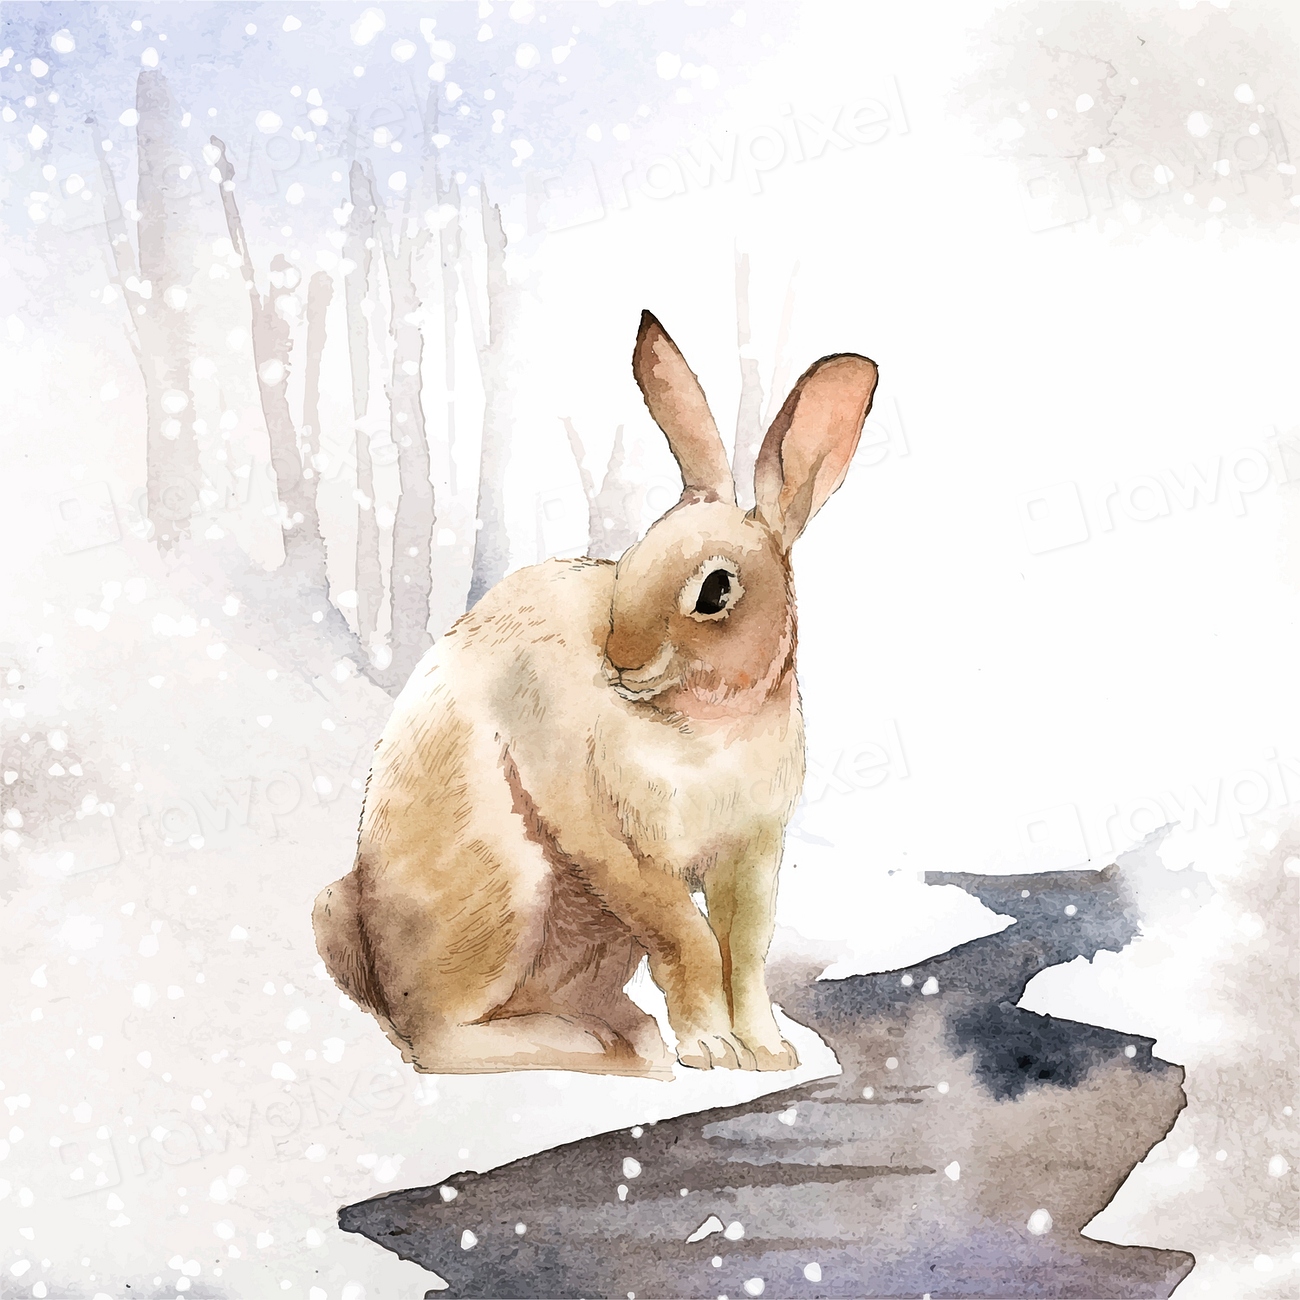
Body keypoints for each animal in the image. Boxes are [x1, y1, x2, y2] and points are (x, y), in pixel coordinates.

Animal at [314, 311, 878, 1077]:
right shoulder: (618, 843)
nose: (619, 660)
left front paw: (768, 1052)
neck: (711, 723)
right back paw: (601, 1049)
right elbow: (690, 944)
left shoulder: (752, 848)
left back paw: (628, 1036)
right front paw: (712, 1052)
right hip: (511, 887)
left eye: (715, 590)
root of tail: (374, 965)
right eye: (634, 558)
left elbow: (744, 954)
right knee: (436, 1040)